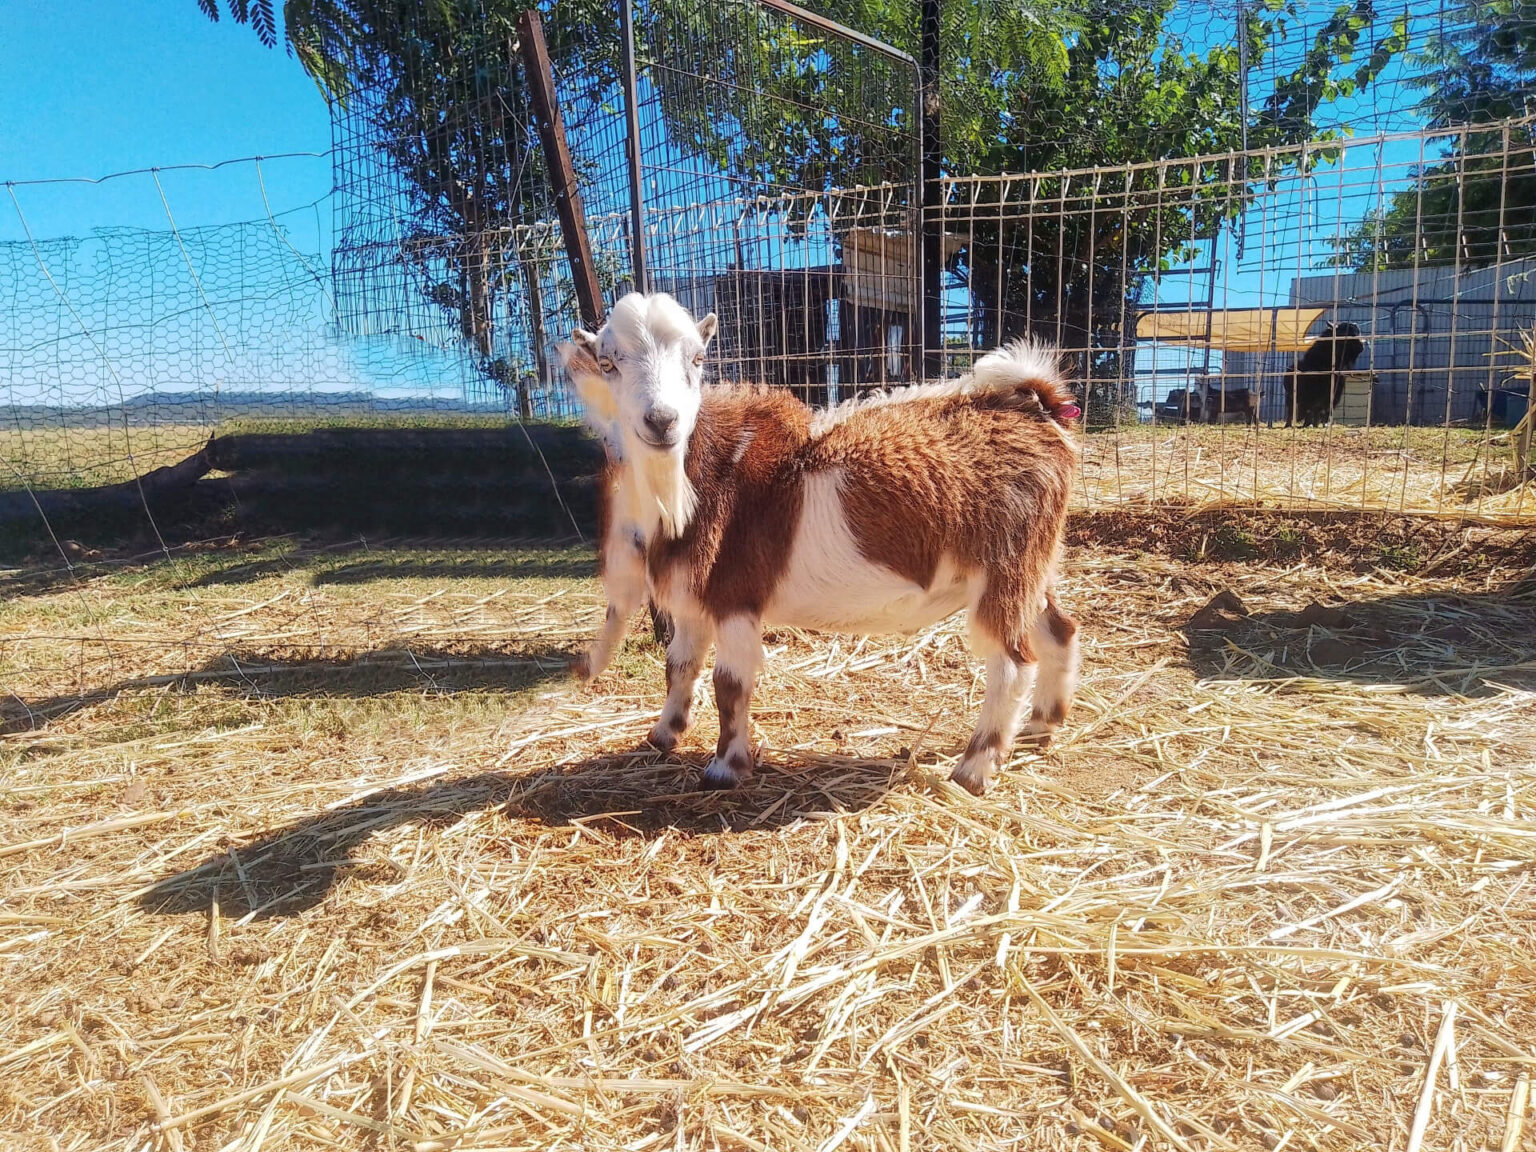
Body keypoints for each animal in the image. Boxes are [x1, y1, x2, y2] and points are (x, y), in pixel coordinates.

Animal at [557, 292, 1081, 796]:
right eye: (609, 362)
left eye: (698, 358)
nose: (662, 421)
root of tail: (1035, 407)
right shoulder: (693, 603)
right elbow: (679, 665)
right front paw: (664, 734)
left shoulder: (736, 600)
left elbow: (730, 685)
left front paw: (725, 768)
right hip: (1033, 566)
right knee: (1058, 629)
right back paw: (1041, 725)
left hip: (1006, 565)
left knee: (1012, 662)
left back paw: (974, 768)